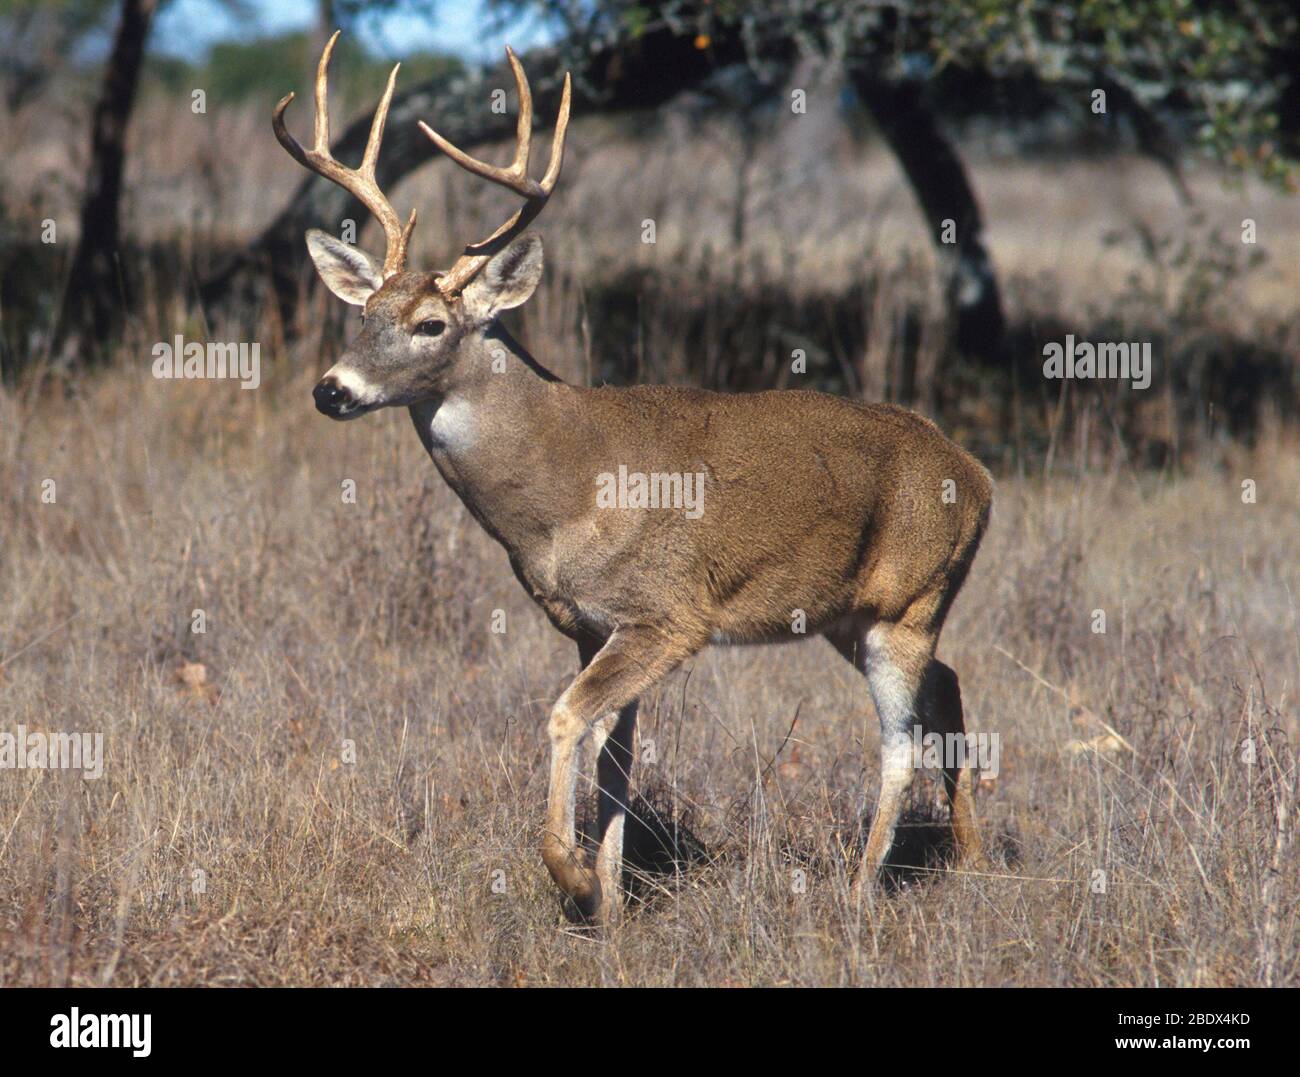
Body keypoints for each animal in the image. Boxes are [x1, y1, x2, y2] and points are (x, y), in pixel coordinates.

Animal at [275, 32, 993, 927]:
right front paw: (613, 901)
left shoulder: (667, 614)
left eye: (431, 323)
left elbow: (565, 718)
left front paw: (573, 876)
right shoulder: (592, 623)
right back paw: (971, 859)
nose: (331, 390)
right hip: (853, 612)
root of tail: (978, 476)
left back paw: (860, 892)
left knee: (899, 738)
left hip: (908, 600)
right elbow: (614, 754)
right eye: (363, 314)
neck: (565, 489)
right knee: (949, 688)